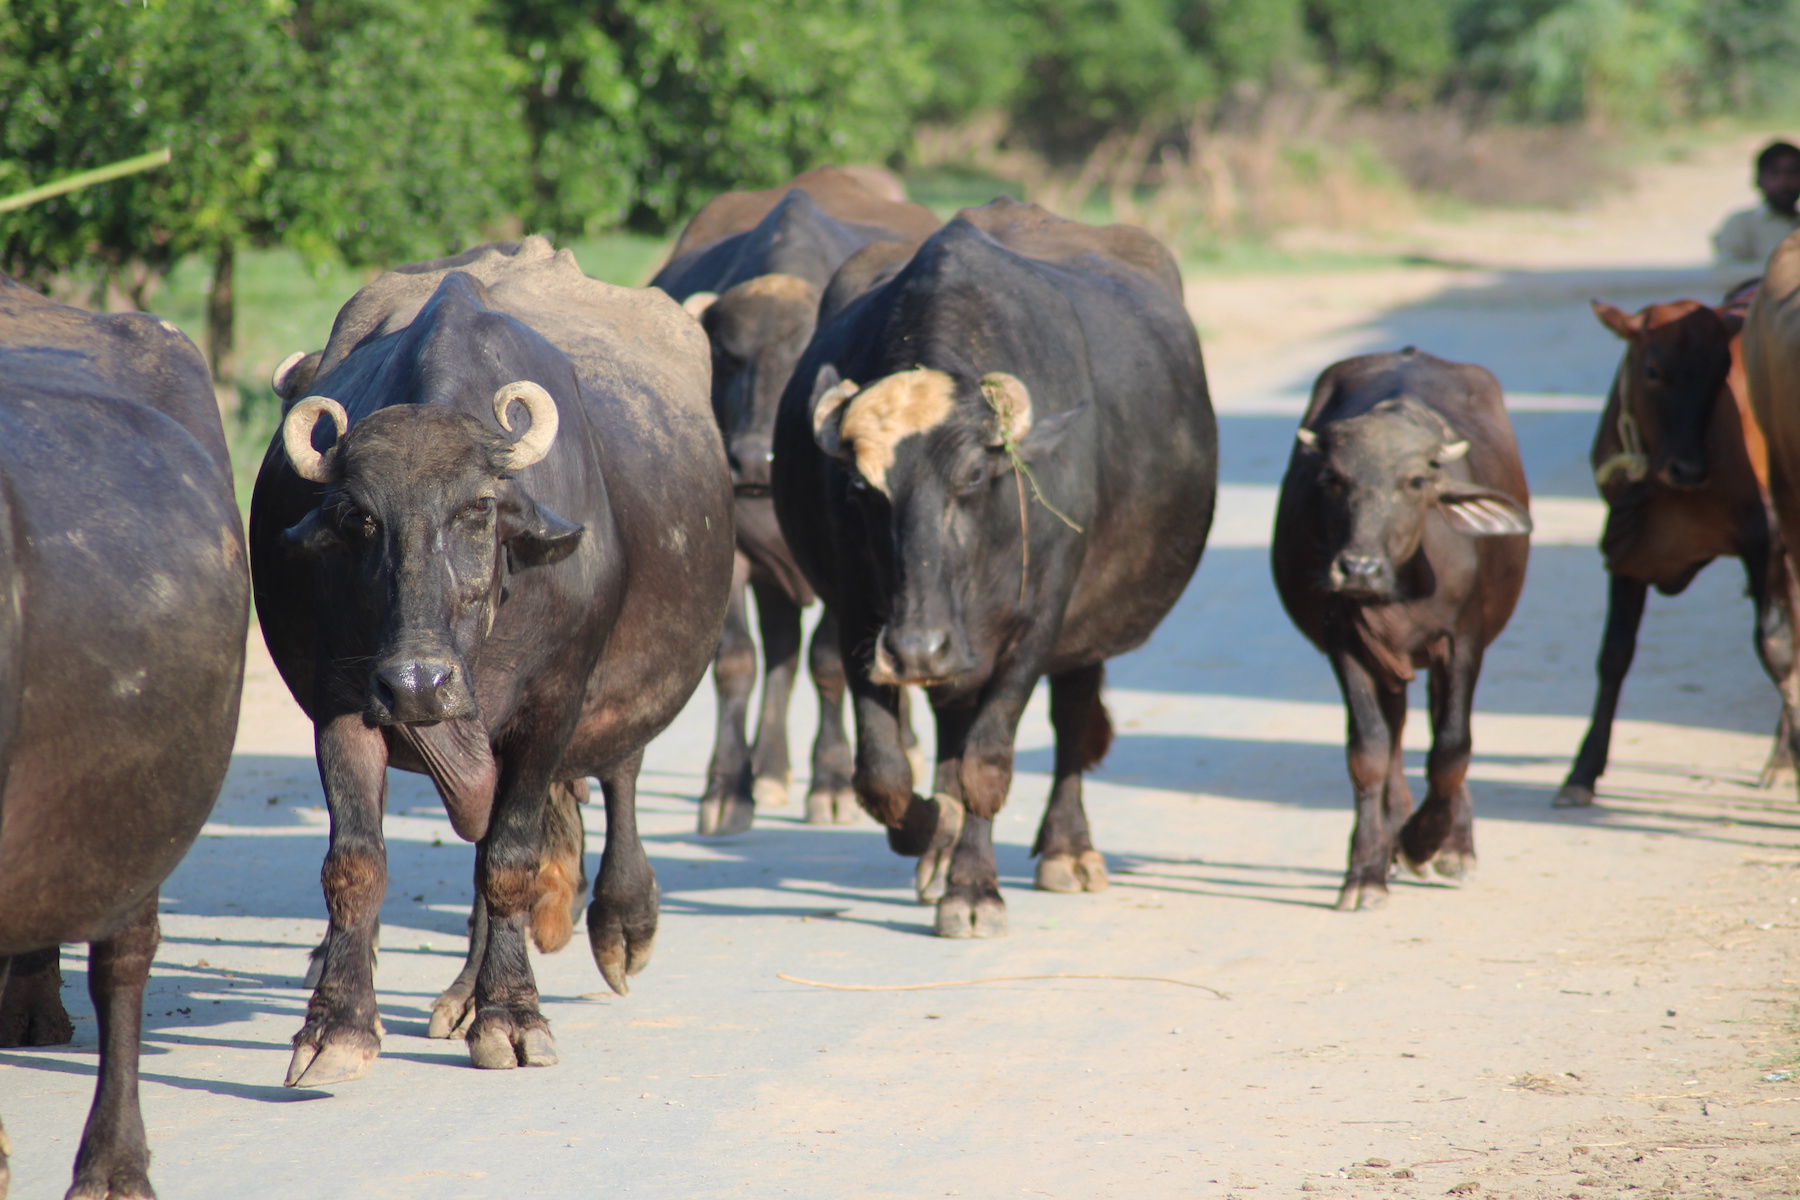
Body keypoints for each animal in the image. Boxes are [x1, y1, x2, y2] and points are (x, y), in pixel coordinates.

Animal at [249, 238, 733, 1083]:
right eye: (359, 517)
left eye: (477, 508)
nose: (417, 683)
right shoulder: (340, 699)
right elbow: (357, 861)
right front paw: (337, 1025)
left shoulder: (551, 706)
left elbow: (511, 858)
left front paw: (511, 1016)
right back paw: (462, 994)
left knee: (619, 771)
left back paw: (618, 924)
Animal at [652, 168, 940, 834]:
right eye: (728, 357)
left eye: (798, 364)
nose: (754, 459)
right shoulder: (731, 554)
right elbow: (737, 662)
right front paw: (726, 788)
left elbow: (830, 663)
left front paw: (832, 783)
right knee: (779, 650)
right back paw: (771, 768)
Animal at [774, 199, 1217, 937]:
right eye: (861, 490)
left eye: (975, 477)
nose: (919, 647)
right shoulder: (862, 616)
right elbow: (885, 774)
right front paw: (931, 832)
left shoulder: (1036, 626)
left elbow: (986, 764)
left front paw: (974, 891)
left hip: (1077, 632)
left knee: (1070, 721)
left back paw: (1068, 850)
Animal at [1273, 349, 1532, 910]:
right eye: (1333, 478)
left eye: (1415, 482)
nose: (1358, 569)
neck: (1396, 589)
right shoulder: (1346, 646)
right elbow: (1368, 754)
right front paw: (1366, 871)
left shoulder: (1463, 642)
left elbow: (1452, 749)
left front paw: (1422, 841)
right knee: (1392, 741)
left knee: (1441, 730)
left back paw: (1452, 846)